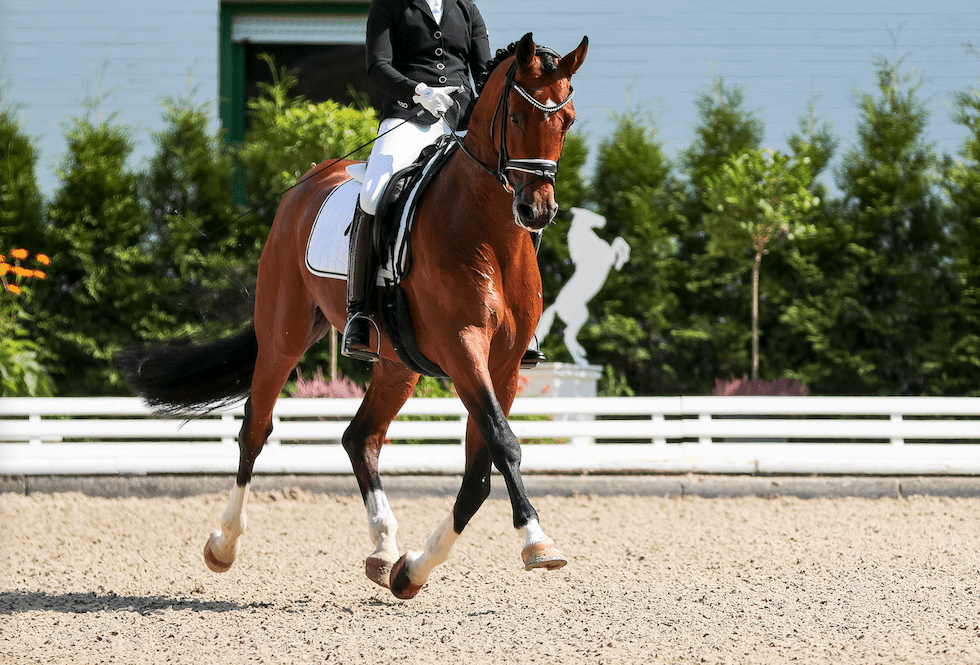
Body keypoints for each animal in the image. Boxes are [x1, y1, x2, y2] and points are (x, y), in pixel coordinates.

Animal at [117, 32, 589, 600]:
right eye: (516, 116)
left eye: (567, 121)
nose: (536, 211)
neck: (488, 234)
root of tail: (308, 181)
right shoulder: (463, 347)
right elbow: (503, 444)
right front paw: (537, 542)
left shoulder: (506, 365)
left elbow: (481, 469)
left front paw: (413, 570)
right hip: (283, 336)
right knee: (256, 427)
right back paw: (223, 545)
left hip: (397, 364)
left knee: (359, 437)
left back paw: (385, 550)